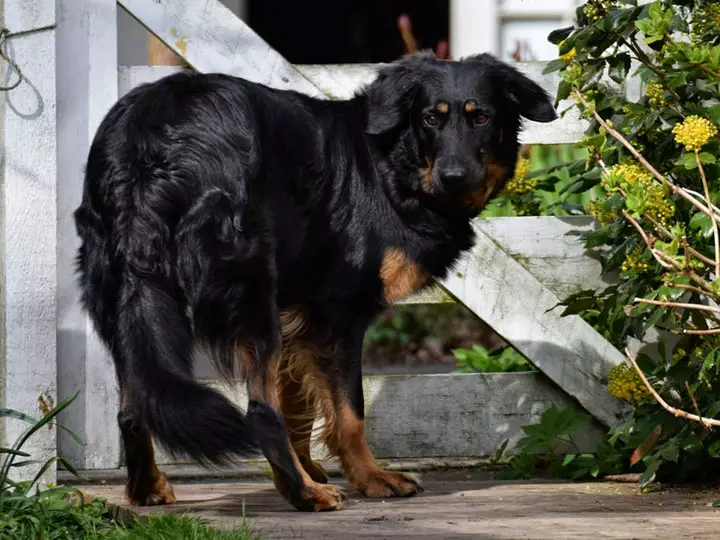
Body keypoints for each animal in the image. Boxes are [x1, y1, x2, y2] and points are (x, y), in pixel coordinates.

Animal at [74, 50, 556, 510]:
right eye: (431, 119)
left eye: (482, 118)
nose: (454, 177)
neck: (391, 166)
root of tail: (148, 139)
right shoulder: (337, 312)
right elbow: (348, 411)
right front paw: (369, 478)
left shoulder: (299, 313)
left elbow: (299, 407)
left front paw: (308, 468)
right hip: (250, 297)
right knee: (259, 412)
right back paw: (305, 497)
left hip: (123, 297)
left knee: (137, 405)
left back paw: (148, 489)